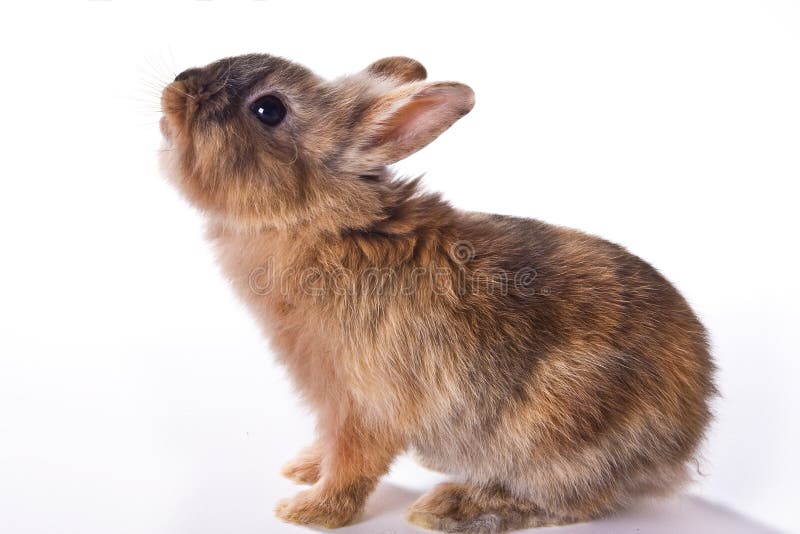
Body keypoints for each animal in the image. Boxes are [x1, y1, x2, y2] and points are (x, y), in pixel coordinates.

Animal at [159, 54, 716, 533]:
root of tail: (681, 447)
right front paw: (302, 469)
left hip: (560, 428)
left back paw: (450, 507)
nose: (177, 86)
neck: (327, 224)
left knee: (572, 499)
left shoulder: (366, 404)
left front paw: (308, 511)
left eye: (268, 109)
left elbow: (354, 463)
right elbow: (330, 445)